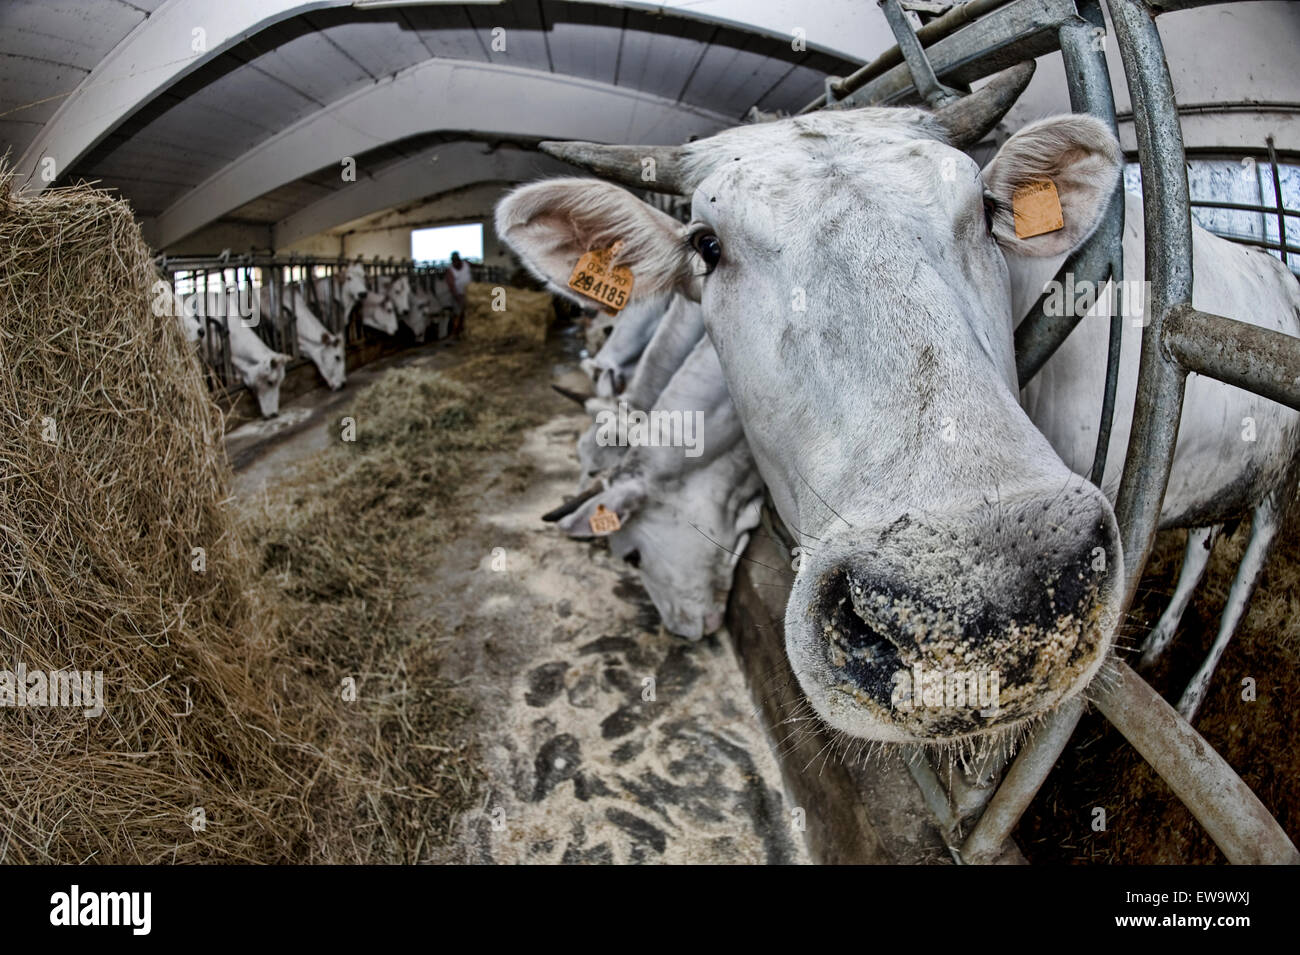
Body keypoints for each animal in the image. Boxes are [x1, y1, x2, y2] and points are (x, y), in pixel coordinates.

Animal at [495, 62, 1293, 743]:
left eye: (986, 208)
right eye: (707, 245)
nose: (995, 600)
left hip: (1281, 482)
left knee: (1248, 559)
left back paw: (1192, 693)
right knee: (1203, 541)